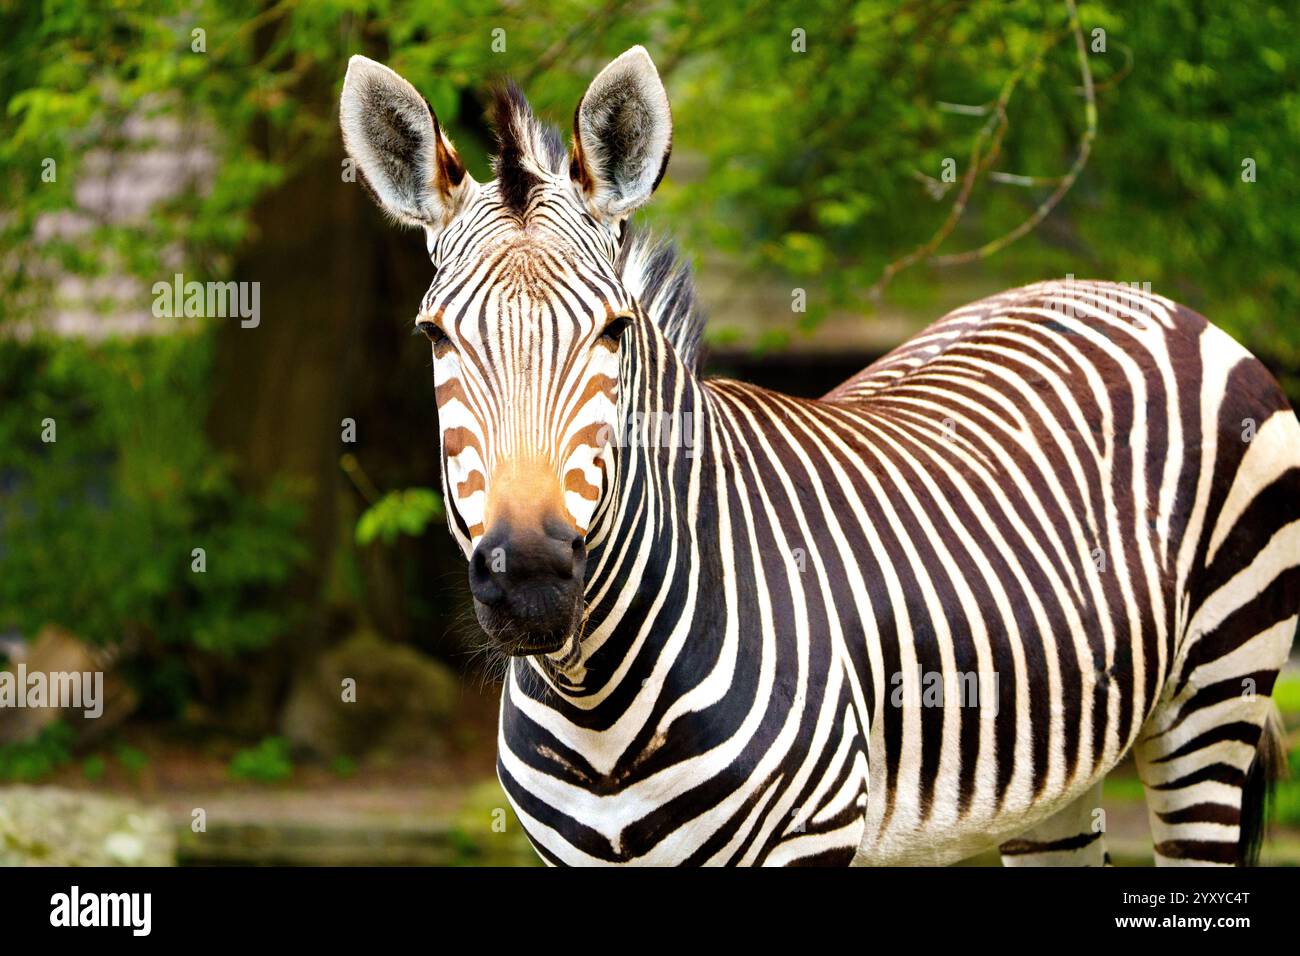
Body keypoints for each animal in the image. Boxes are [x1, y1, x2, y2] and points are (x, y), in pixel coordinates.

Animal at [340, 46, 1300, 866]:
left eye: (613, 330)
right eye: (434, 337)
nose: (532, 580)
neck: (598, 699)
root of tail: (1137, 297)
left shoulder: (809, 835)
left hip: (1214, 701)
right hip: (1058, 769)